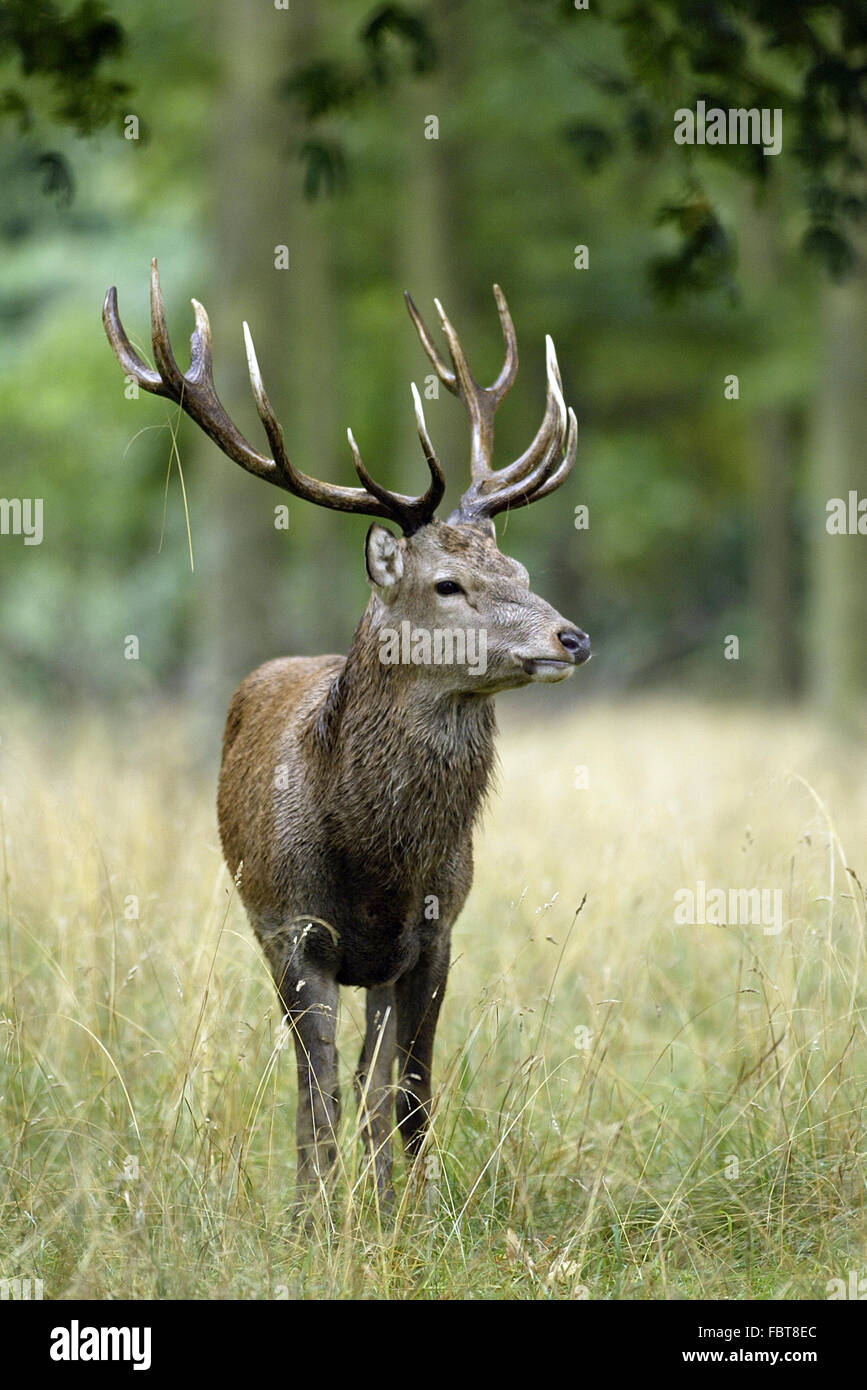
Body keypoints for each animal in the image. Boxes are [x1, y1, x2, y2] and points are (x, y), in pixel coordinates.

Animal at [103, 260, 590, 1215]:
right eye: (447, 585)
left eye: (515, 568)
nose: (571, 637)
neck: (373, 857)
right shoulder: (297, 932)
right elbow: (321, 1094)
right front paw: (318, 1219)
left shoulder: (435, 931)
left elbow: (407, 1095)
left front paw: (409, 1214)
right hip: (263, 923)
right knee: (316, 1082)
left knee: (373, 1081)